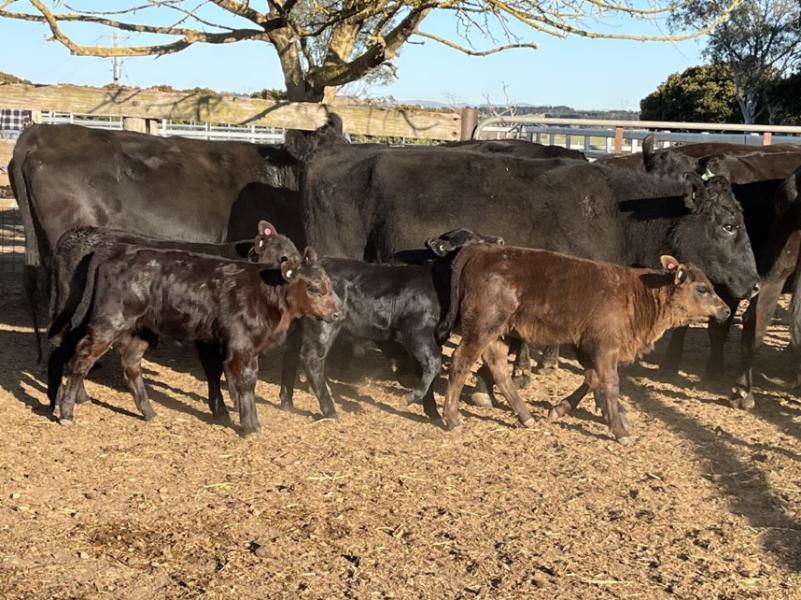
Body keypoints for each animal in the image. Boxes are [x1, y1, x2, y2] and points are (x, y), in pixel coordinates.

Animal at [55, 245, 338, 435]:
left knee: (130, 365)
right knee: (81, 359)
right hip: (108, 322)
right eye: (313, 287)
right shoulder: (241, 344)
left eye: (329, 284)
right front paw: (250, 426)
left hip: (139, 331)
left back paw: (149, 413)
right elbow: (245, 382)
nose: (336, 313)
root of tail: (110, 260)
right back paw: (66, 411)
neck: (267, 292)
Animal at [277, 229, 504, 421]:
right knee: (311, 359)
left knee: (290, 354)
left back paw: (287, 401)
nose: (501, 240)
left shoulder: (434, 337)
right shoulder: (416, 331)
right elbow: (434, 362)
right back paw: (330, 410)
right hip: (323, 324)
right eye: (473, 238)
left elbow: (428, 370)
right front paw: (410, 398)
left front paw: (433, 413)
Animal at [437, 245, 730, 442]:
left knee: (496, 364)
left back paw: (525, 416)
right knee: (461, 360)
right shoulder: (605, 346)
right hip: (483, 326)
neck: (636, 293)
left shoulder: (587, 345)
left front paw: (558, 409)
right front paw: (619, 431)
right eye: (702, 289)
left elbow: (592, 378)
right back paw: (452, 418)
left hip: (501, 331)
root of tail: (481, 250)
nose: (726, 310)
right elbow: (610, 383)